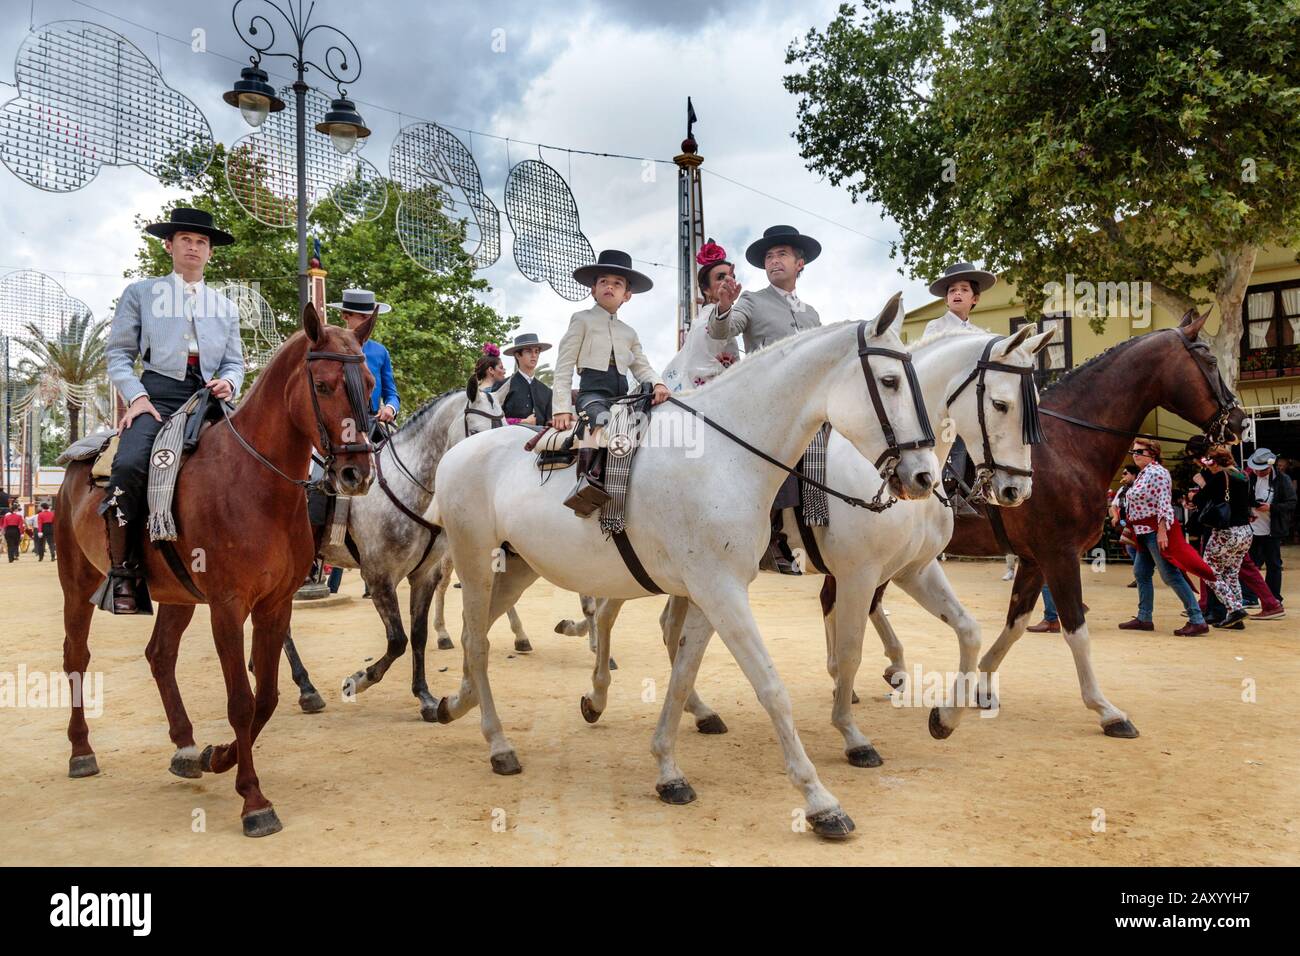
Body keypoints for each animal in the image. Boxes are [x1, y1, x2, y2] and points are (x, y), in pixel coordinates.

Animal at [55, 303, 377, 832]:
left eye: (370, 382)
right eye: (324, 384)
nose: (356, 472)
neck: (255, 482)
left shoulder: (274, 605)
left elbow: (265, 696)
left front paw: (219, 756)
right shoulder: (228, 607)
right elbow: (241, 701)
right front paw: (254, 800)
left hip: (176, 595)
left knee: (160, 655)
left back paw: (186, 747)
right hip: (77, 584)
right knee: (76, 658)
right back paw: (81, 751)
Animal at [431, 293, 941, 837]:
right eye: (889, 381)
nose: (924, 475)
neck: (725, 457)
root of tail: (459, 450)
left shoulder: (708, 593)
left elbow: (681, 674)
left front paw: (668, 770)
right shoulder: (724, 591)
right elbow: (770, 686)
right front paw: (821, 800)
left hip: (517, 569)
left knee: (477, 635)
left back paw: (456, 703)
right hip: (476, 562)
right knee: (478, 642)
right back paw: (499, 744)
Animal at [579, 325, 1055, 764]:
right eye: (1001, 405)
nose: (1017, 490)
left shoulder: (914, 570)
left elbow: (968, 630)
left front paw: (945, 717)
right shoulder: (860, 573)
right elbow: (850, 651)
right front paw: (852, 732)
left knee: (668, 630)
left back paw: (699, 711)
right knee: (606, 615)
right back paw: (597, 695)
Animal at [878, 310, 1242, 738]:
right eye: (1210, 360)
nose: (1238, 420)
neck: (1064, 446)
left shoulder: (1035, 560)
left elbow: (1016, 624)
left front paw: (981, 684)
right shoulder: (1059, 554)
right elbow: (1076, 631)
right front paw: (1105, 710)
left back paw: (893, 667)